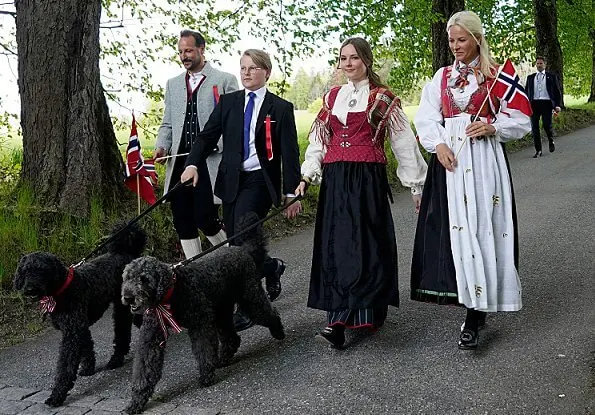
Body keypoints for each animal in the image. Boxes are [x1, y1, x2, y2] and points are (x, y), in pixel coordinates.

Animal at [14, 224, 147, 406]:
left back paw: (117, 359)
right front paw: (88, 368)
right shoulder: (78, 326)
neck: (61, 290)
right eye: (25, 271)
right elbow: (87, 345)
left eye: (42, 270)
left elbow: (65, 366)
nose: (30, 289)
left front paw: (57, 394)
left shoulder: (71, 332)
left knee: (124, 331)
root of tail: (125, 254)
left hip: (124, 307)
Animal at [120, 214, 284, 415]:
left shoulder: (200, 323)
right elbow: (145, 368)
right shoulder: (151, 336)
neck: (173, 292)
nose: (128, 297)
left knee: (269, 314)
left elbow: (204, 349)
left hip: (250, 298)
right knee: (231, 337)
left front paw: (206, 375)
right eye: (127, 277)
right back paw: (223, 359)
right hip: (221, 311)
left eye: (144, 279)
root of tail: (241, 251)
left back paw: (278, 331)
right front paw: (136, 401)